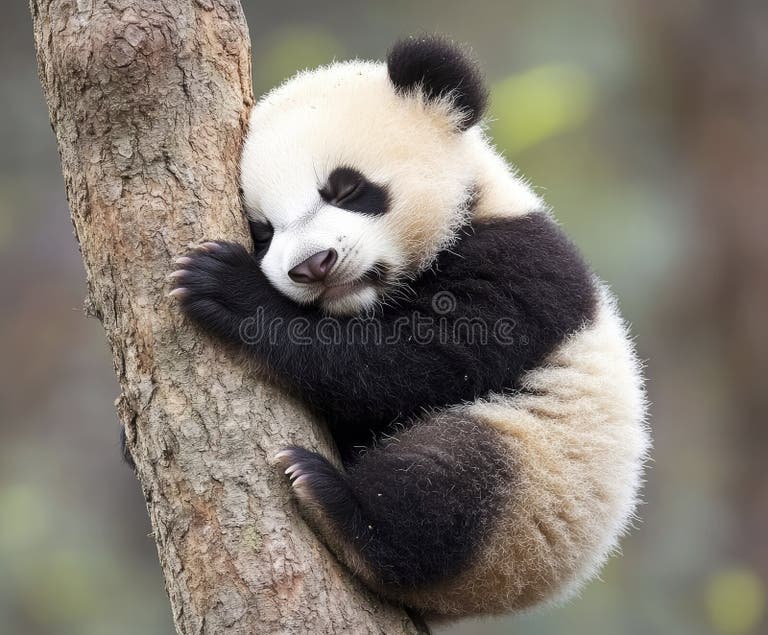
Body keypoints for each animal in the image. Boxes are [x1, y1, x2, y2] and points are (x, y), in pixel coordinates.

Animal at [168, 35, 649, 618]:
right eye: (263, 231)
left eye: (345, 189)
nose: (313, 266)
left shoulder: (523, 264)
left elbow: (420, 360)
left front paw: (227, 288)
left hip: (540, 475)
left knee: (450, 484)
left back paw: (339, 508)